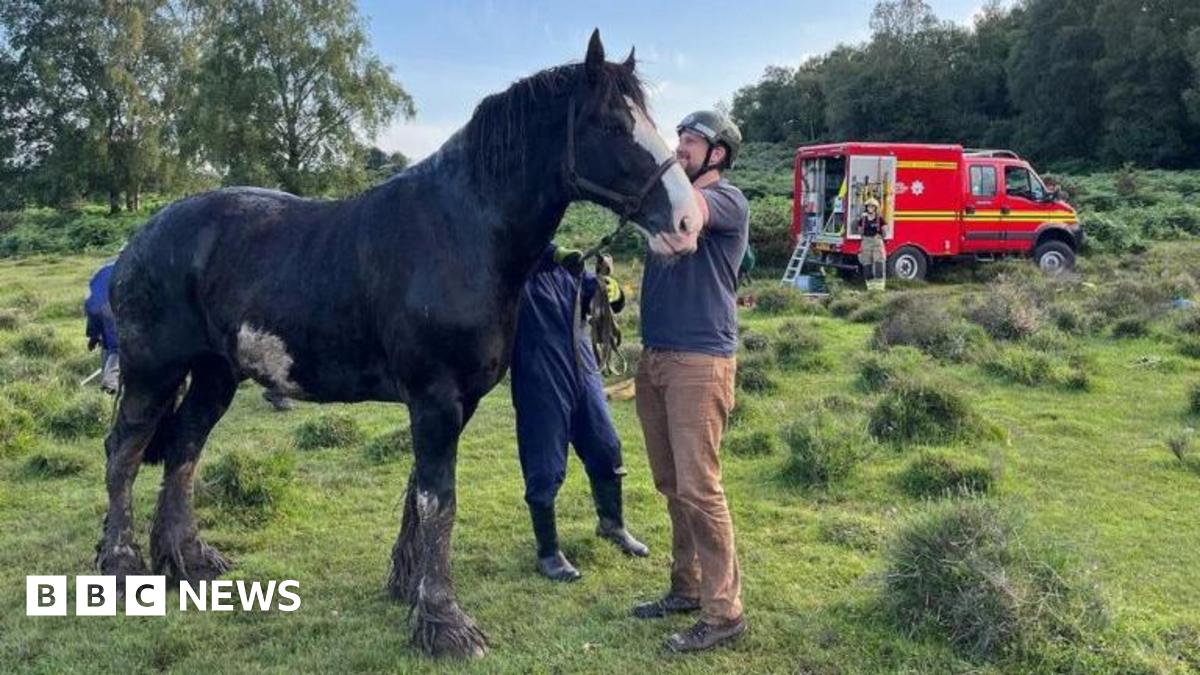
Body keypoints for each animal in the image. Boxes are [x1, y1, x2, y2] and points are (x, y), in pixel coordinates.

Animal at [95, 30, 702, 658]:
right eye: (610, 122)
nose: (688, 221)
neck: (461, 231)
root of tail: (140, 239)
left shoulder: (455, 402)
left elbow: (420, 493)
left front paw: (409, 586)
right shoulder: (434, 398)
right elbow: (440, 500)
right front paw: (445, 622)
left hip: (215, 374)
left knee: (184, 448)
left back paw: (187, 560)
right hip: (152, 371)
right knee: (125, 452)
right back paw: (122, 566)